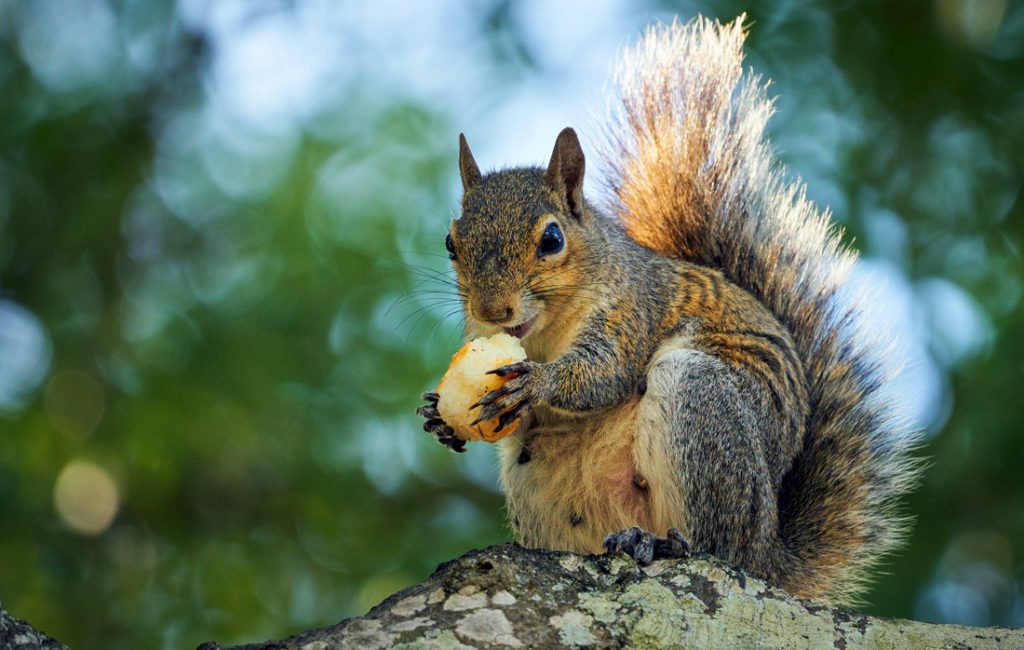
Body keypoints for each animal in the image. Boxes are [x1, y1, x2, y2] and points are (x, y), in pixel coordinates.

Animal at [417, 15, 920, 606]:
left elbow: (603, 374)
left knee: (716, 545)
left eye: (552, 239)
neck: (544, 333)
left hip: (702, 411)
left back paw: (665, 544)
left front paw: (537, 382)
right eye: (451, 243)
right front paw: (438, 416)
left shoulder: (632, 309)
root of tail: (768, 557)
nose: (493, 309)